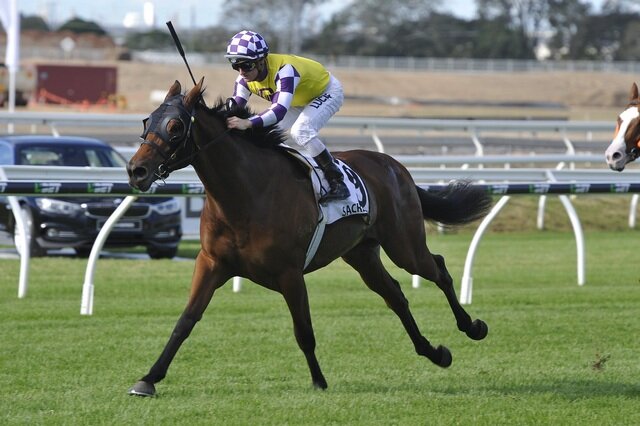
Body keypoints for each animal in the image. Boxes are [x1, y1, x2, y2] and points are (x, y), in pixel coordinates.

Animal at [125, 78, 493, 397]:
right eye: (148, 120)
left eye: (175, 126)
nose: (136, 170)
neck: (246, 193)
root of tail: (395, 165)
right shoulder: (212, 263)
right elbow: (185, 321)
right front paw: (149, 379)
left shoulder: (290, 273)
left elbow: (303, 330)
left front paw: (319, 381)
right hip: (362, 254)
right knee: (396, 296)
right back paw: (434, 352)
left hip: (404, 245)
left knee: (438, 269)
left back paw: (472, 326)